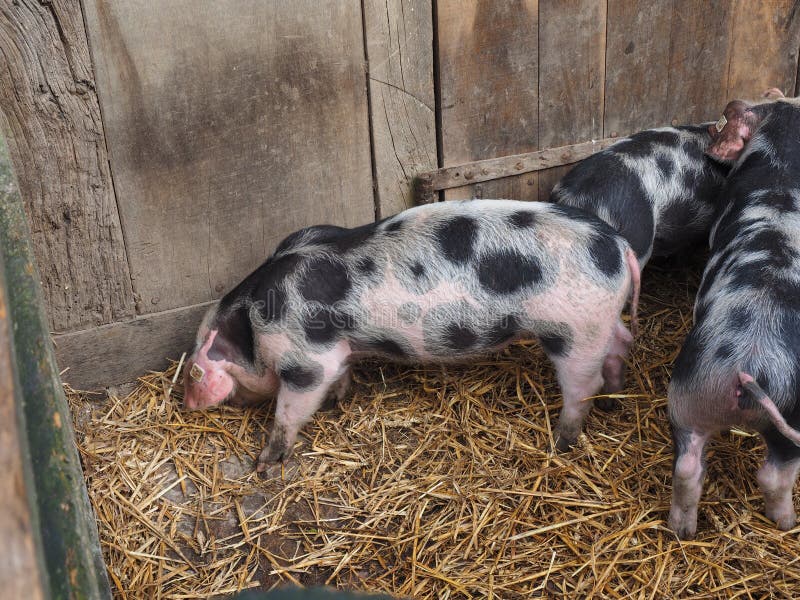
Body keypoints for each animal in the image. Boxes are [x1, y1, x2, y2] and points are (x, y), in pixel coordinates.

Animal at [183, 199, 640, 471]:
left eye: (195, 372)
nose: (187, 405)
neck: (251, 325)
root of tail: (621, 248)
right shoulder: (339, 348)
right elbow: (342, 372)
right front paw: (338, 401)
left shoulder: (305, 359)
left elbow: (289, 409)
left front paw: (265, 464)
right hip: (600, 321)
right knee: (621, 343)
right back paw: (615, 397)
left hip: (575, 330)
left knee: (583, 385)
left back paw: (560, 443)